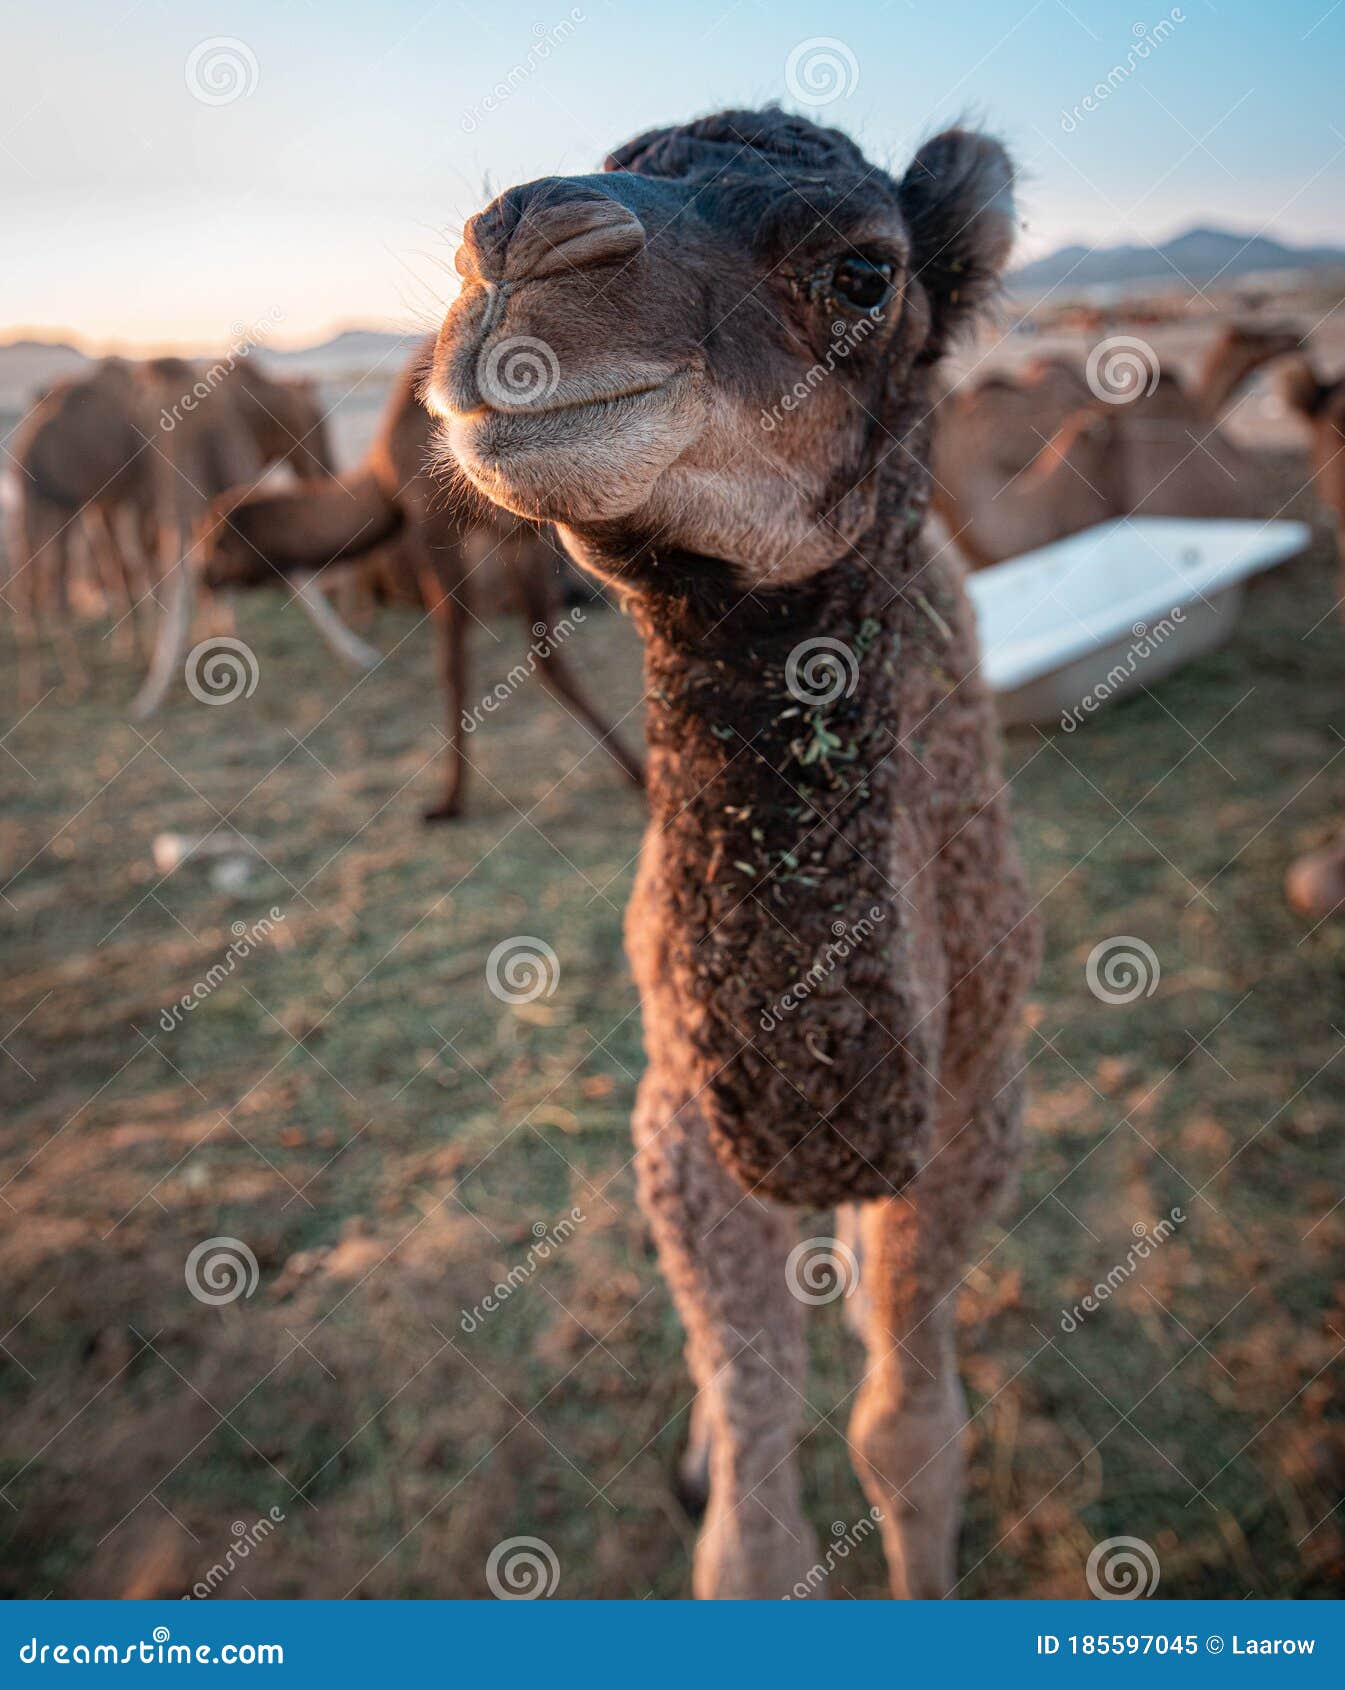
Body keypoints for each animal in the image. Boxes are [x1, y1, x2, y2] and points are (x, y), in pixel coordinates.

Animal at [198, 341, 645, 820]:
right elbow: (547, 659)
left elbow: (452, 666)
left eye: (216, 544)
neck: (384, 475)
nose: (204, 577)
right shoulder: (517, 540)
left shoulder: (435, 526)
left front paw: (449, 800)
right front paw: (638, 772)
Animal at [429, 109, 1040, 1598]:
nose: (514, 244)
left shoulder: (975, 1103)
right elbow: (749, 1529)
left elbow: (906, 1427)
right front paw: (727, 1479)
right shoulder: (679, 1121)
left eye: (863, 270)